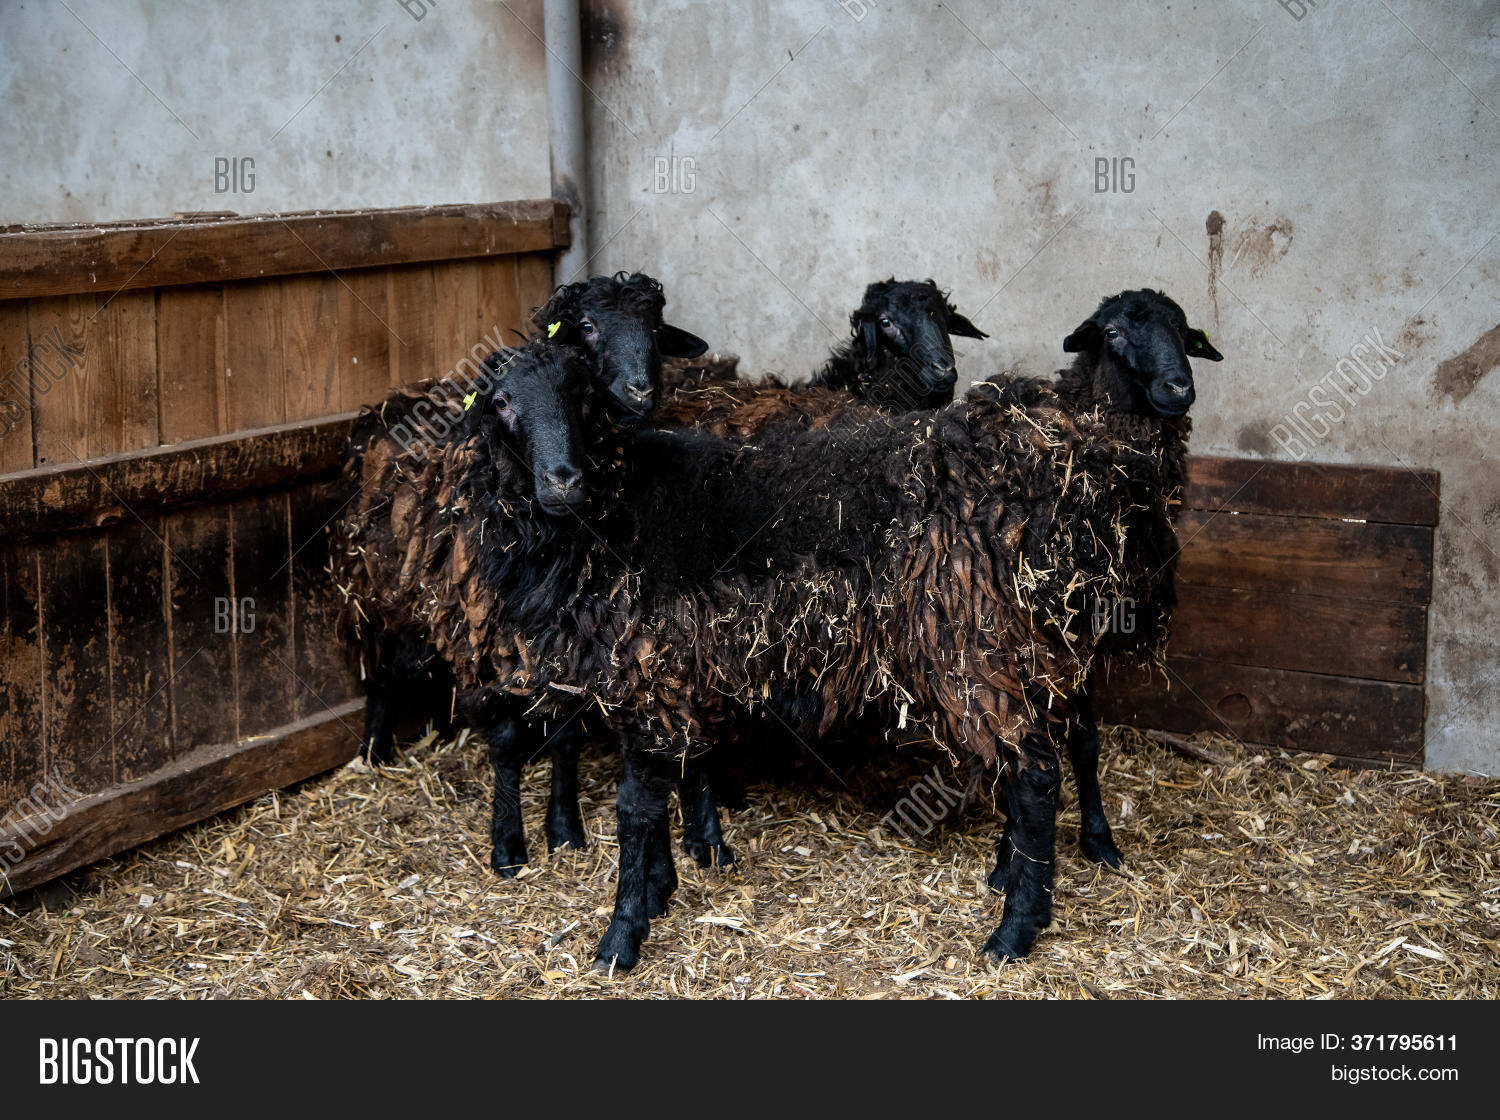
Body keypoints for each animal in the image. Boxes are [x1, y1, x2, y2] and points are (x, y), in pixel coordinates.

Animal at [413, 287, 1212, 970]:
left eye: (581, 398)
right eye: (502, 403)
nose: (561, 481)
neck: (612, 513)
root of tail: (1059, 467)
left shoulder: (652, 670)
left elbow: (638, 807)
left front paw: (622, 935)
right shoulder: (669, 673)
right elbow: (664, 785)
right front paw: (664, 887)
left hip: (975, 645)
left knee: (1038, 775)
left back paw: (1015, 930)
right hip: (1030, 649)